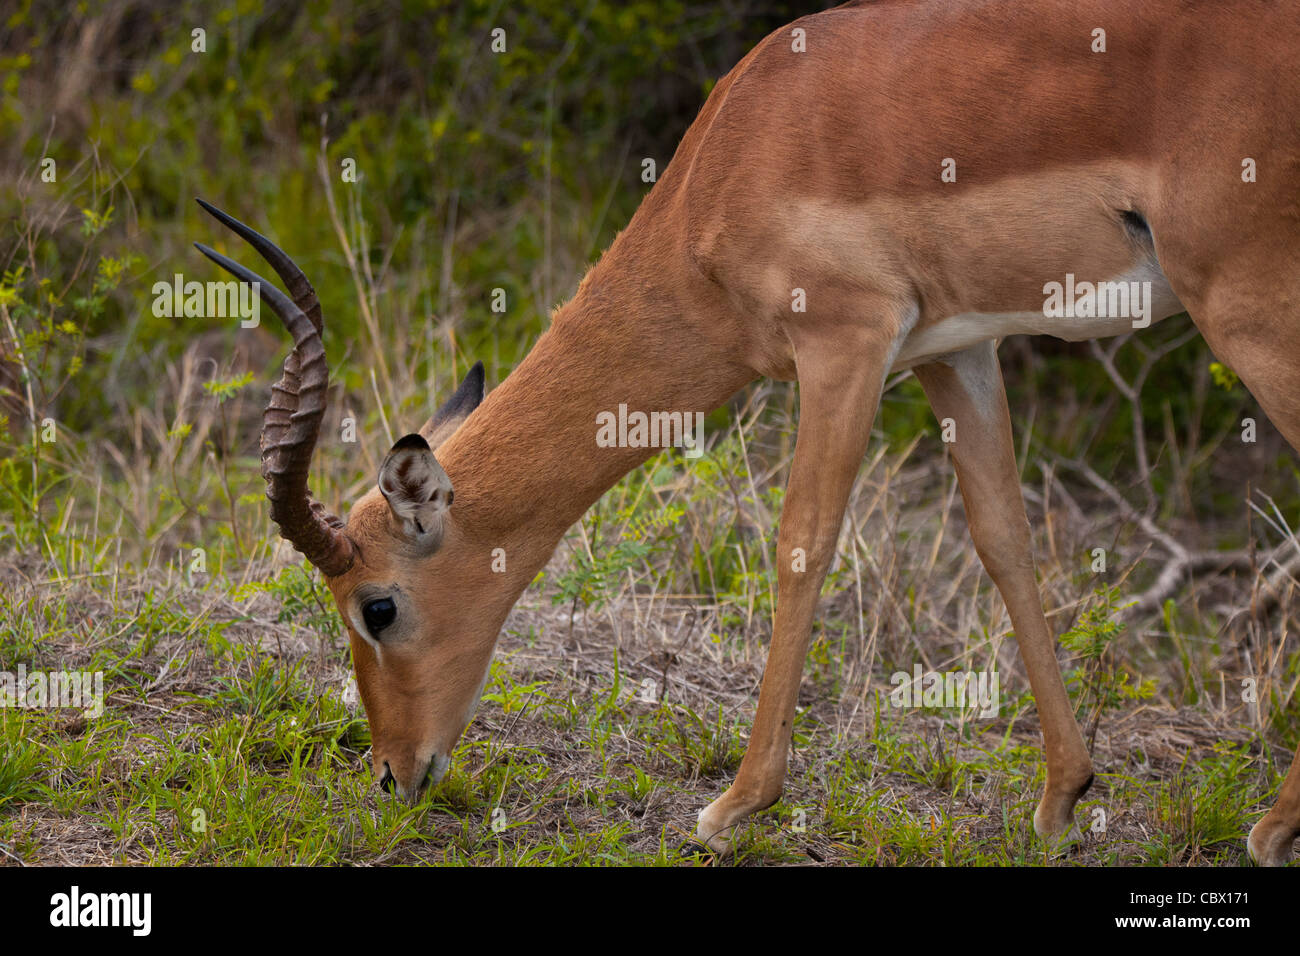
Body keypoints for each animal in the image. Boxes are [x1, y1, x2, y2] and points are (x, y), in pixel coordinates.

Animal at [195, 0, 1300, 864]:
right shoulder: (956, 349)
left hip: (1247, 309)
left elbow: (801, 543)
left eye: (376, 606)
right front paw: (1062, 796)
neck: (731, 157)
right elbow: (1004, 540)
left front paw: (733, 805)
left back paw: (1270, 826)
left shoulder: (846, 342)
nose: (393, 773)